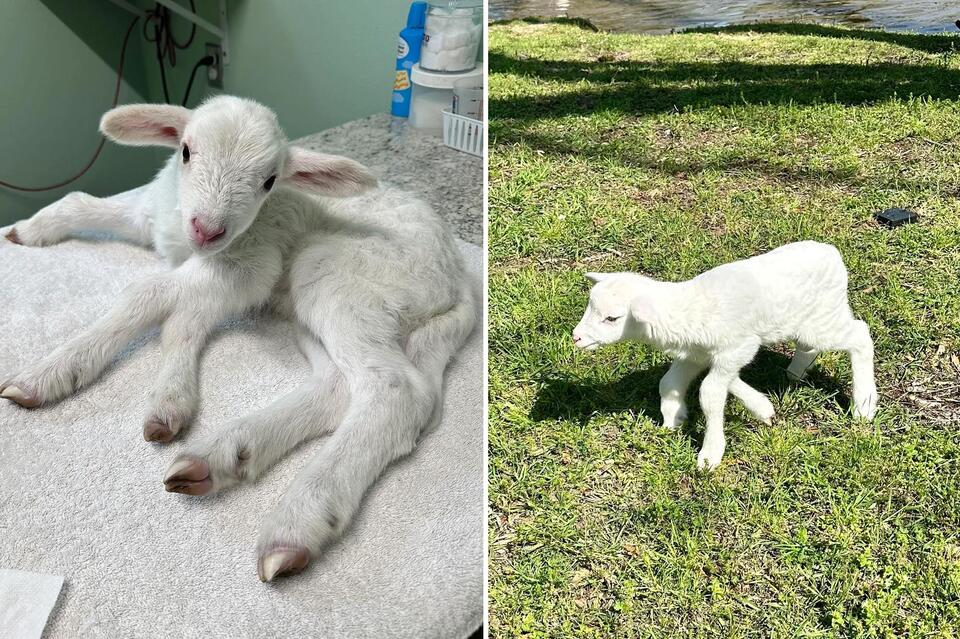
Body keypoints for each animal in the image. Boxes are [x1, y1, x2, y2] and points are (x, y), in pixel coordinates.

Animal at [0, 96, 476, 581]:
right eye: (186, 151)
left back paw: (300, 517)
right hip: (314, 304)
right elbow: (84, 206)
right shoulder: (163, 226)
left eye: (269, 181)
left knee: (395, 388)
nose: (207, 229)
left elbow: (148, 292)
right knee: (339, 385)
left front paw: (50, 372)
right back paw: (225, 454)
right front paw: (28, 229)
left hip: (339, 276)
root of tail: (456, 279)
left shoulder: (248, 265)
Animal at [571, 241, 878, 470]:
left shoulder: (738, 347)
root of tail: (832, 253)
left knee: (860, 335)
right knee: (812, 345)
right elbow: (670, 383)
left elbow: (709, 392)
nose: (576, 337)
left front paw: (710, 454)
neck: (688, 308)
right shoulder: (697, 353)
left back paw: (864, 404)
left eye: (612, 318)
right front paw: (674, 418)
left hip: (821, 322)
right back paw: (796, 372)